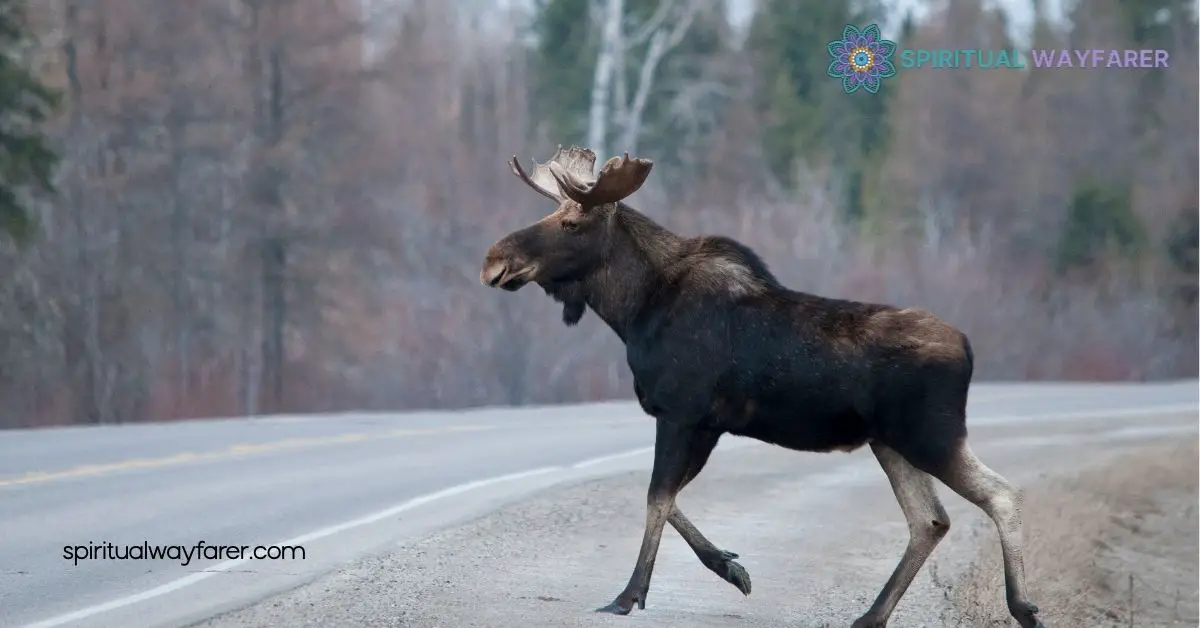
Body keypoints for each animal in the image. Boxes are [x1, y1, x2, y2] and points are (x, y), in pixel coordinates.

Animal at [478, 145, 1045, 628]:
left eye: (571, 222)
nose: (493, 261)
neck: (633, 310)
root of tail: (968, 349)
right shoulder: (705, 423)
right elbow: (670, 497)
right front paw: (730, 566)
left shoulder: (680, 412)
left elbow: (657, 497)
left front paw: (629, 595)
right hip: (890, 442)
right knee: (930, 520)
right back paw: (871, 615)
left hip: (930, 434)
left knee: (1001, 493)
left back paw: (1023, 607)